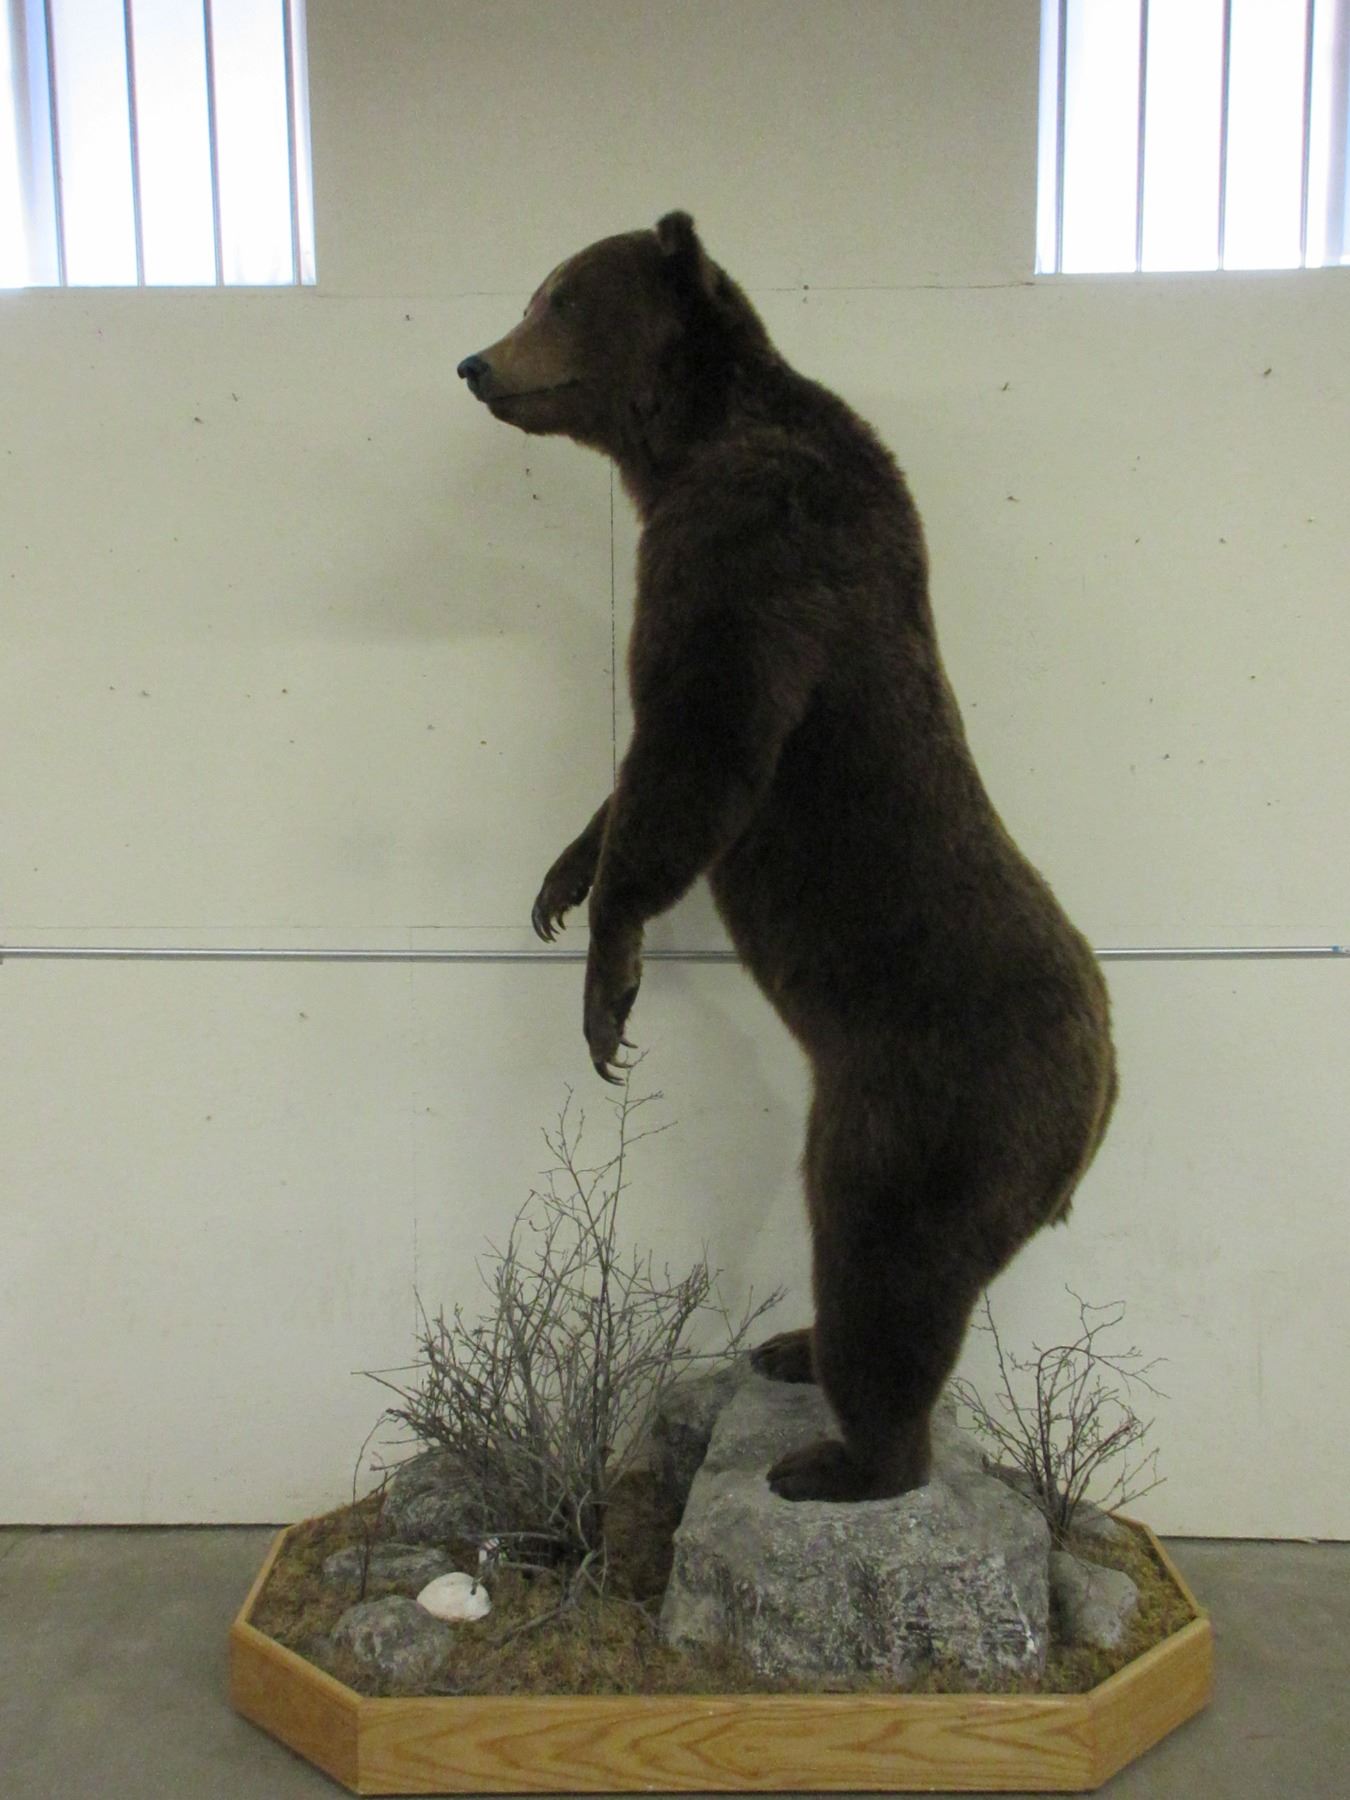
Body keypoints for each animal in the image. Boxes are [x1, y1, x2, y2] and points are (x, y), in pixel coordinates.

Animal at [457, 213, 1117, 1504]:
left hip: (927, 1111)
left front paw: (607, 987)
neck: (686, 442)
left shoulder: (756, 542)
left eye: (560, 296)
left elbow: (701, 735)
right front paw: (560, 881)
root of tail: (1105, 1089)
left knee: (886, 1269)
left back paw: (839, 1456)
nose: (476, 363)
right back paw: (790, 1349)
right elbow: (638, 776)